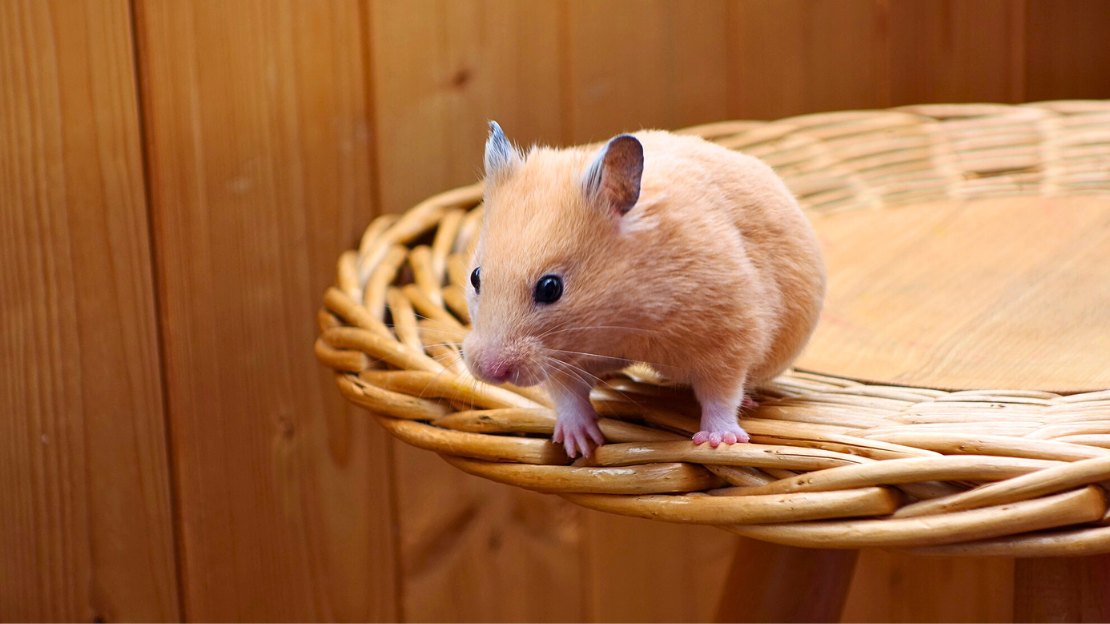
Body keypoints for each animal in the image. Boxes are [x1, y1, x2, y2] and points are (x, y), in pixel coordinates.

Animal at [462, 122, 825, 458]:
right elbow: (568, 394)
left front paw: (718, 441)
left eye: (551, 288)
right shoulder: (561, 359)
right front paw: (580, 445)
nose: (490, 372)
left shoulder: (730, 335)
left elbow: (721, 392)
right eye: (475, 277)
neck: (621, 319)